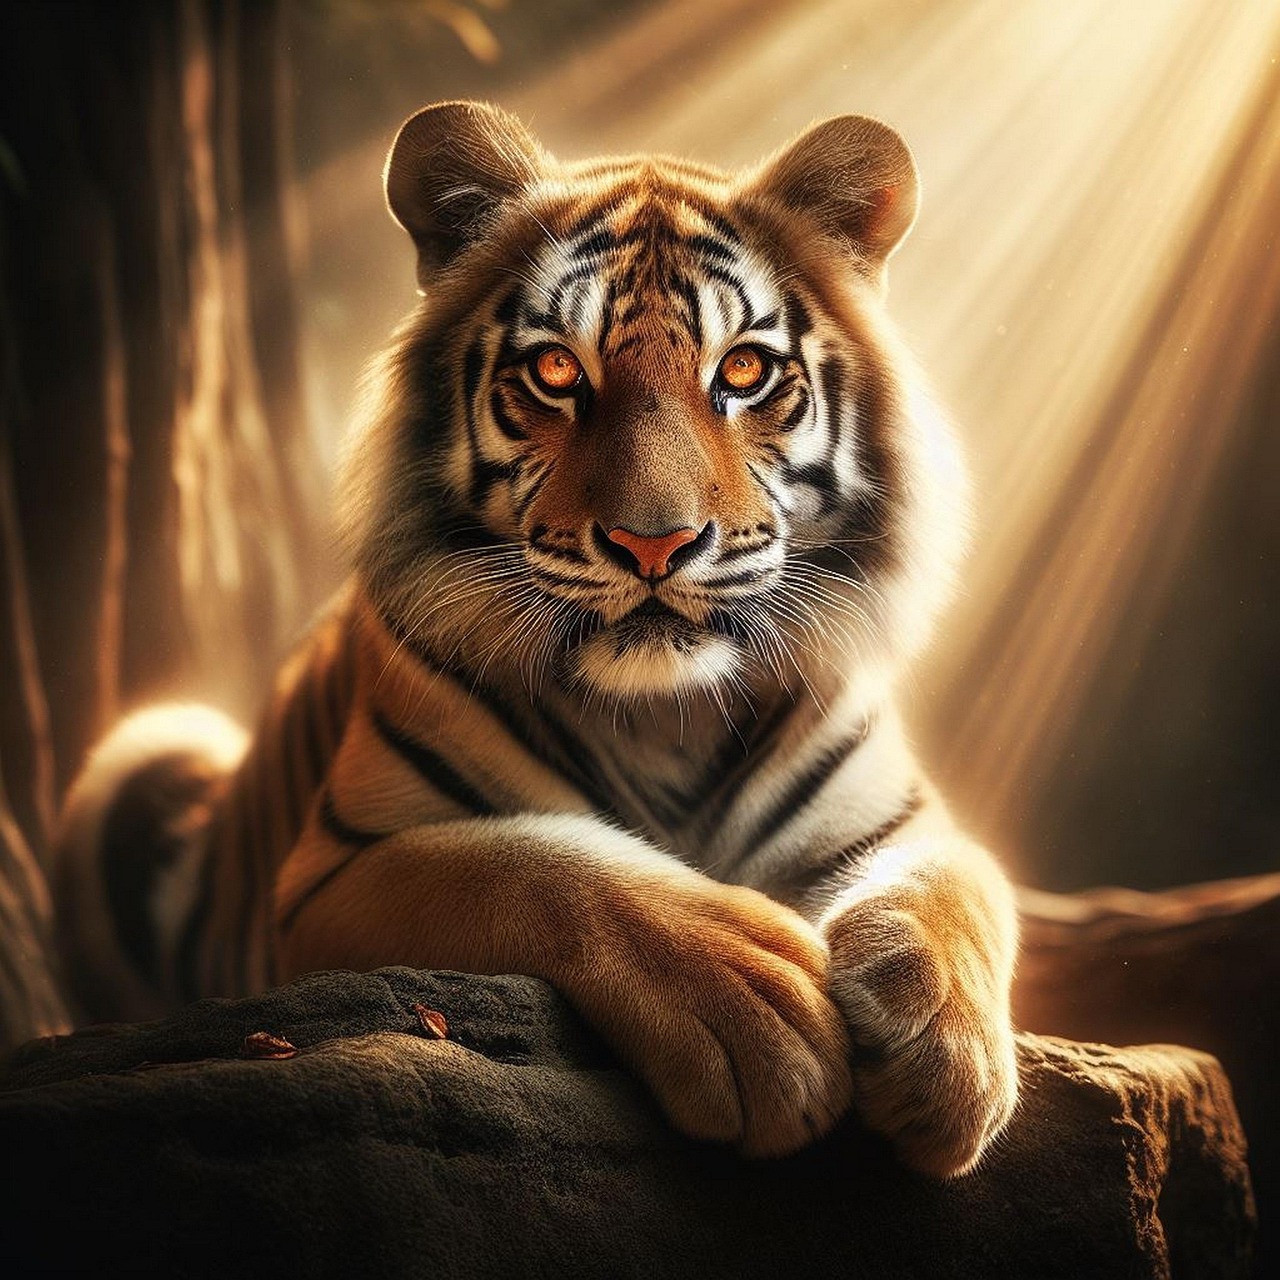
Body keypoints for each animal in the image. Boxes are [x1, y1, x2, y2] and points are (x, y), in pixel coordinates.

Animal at [54, 101, 1019, 1177]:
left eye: (742, 370)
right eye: (557, 370)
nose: (654, 542)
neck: (666, 716)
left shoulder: (901, 821)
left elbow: (962, 885)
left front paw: (947, 1053)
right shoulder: (331, 878)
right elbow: (535, 865)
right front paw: (760, 1009)